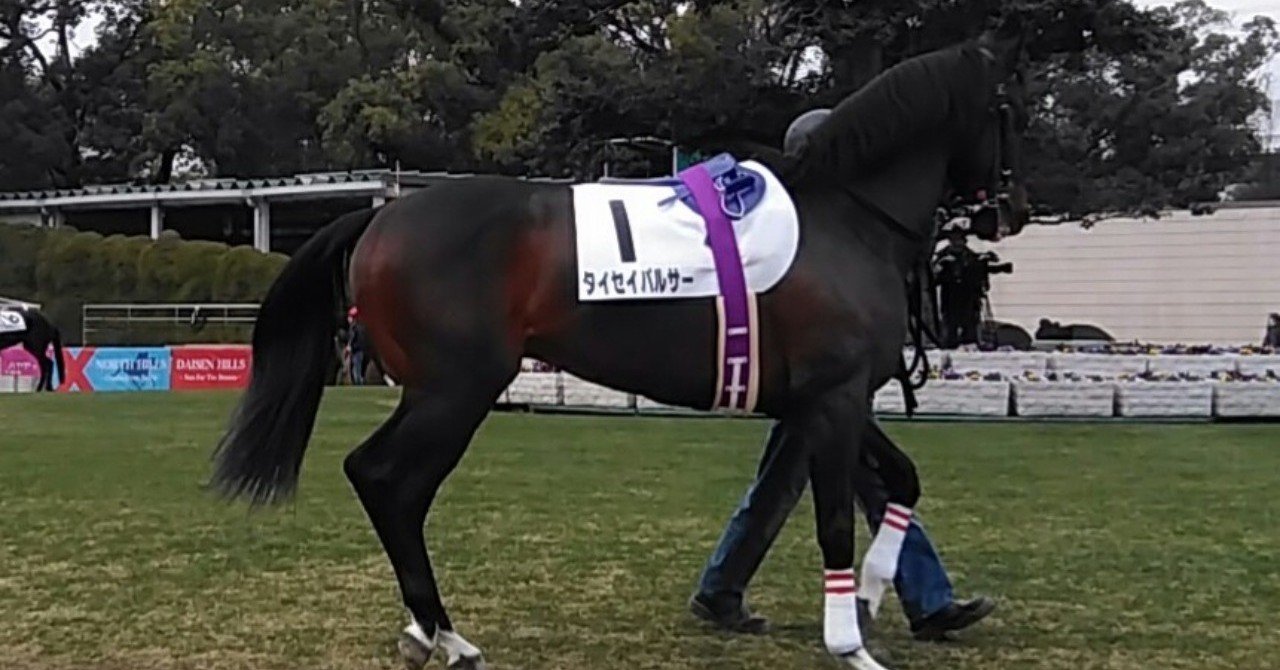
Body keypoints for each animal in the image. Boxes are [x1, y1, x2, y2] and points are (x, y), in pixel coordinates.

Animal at [212, 32, 1031, 670]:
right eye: (1005, 112)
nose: (1012, 210)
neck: (843, 218)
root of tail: (382, 218)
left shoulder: (830, 399)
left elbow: (900, 480)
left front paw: (878, 591)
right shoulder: (835, 397)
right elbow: (835, 517)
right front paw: (850, 643)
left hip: (439, 391)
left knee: (390, 485)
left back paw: (430, 631)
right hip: (457, 392)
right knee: (385, 480)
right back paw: (446, 635)